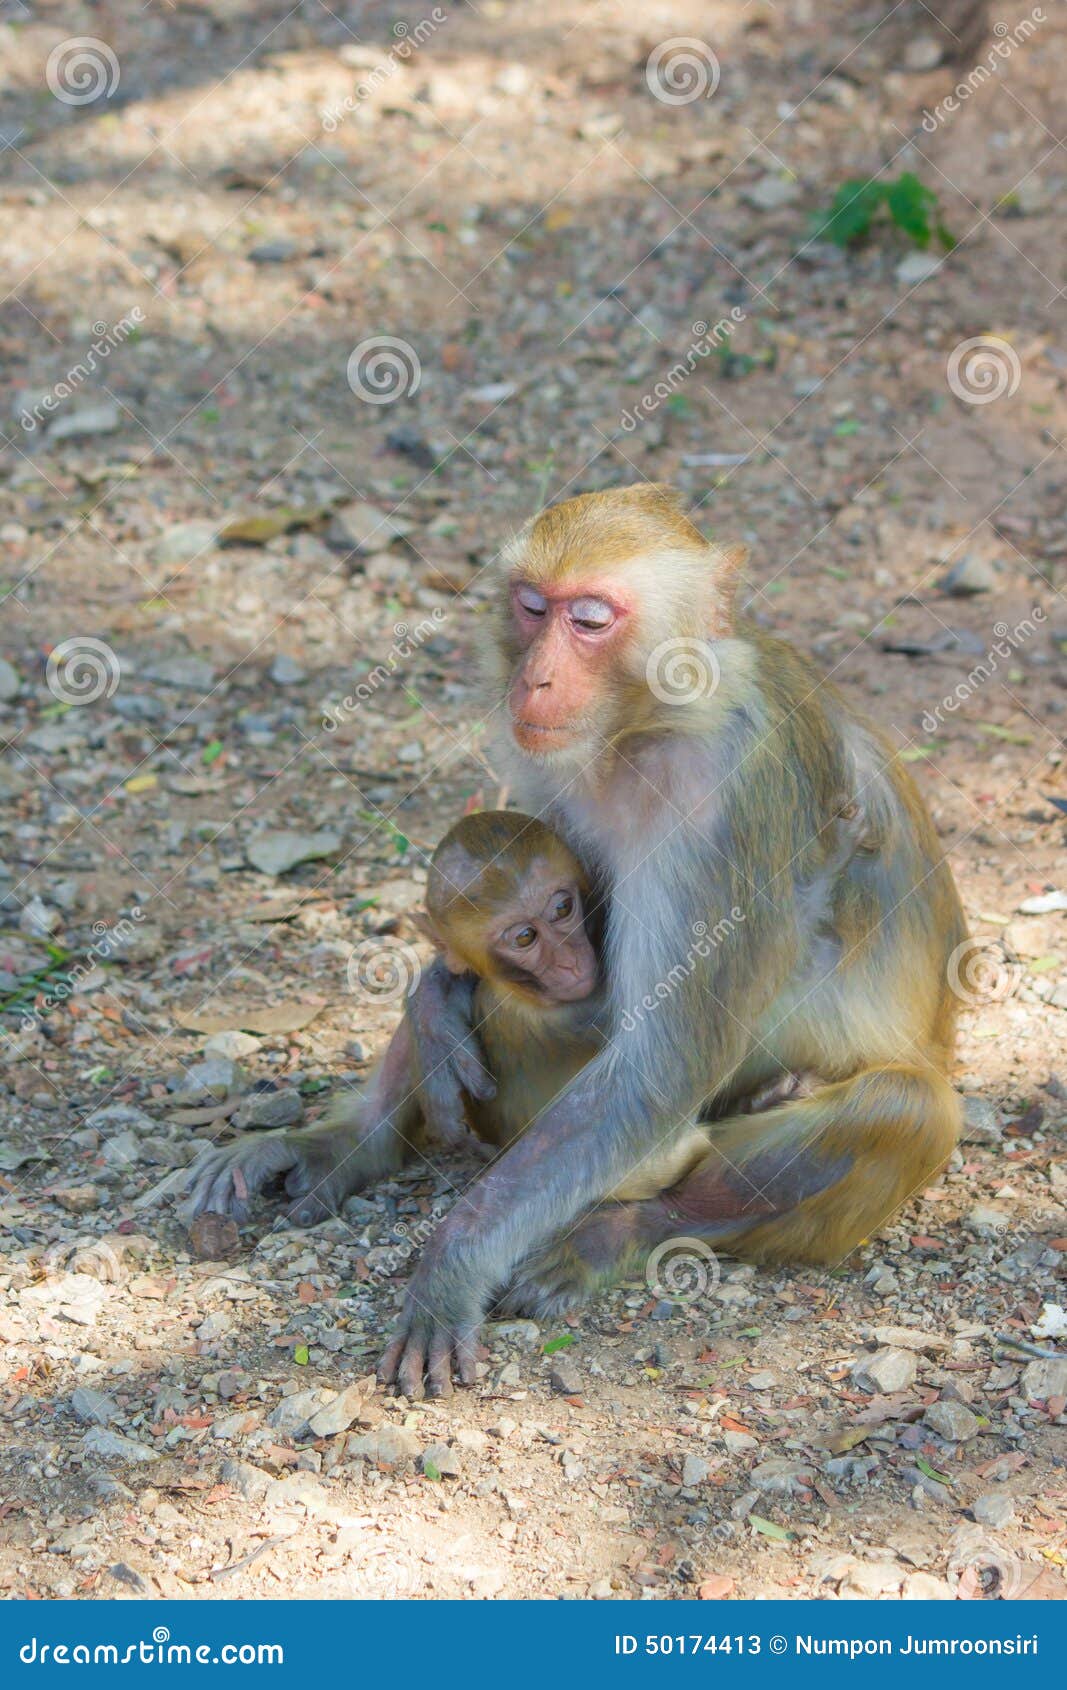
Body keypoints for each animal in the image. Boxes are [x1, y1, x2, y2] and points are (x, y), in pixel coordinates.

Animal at [187, 483, 967, 1398]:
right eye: (531, 607)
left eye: (590, 619)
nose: (536, 676)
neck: (642, 729)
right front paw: (433, 1008)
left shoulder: (724, 798)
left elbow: (657, 1060)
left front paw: (453, 1263)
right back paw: (346, 1144)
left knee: (904, 1109)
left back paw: (621, 1231)